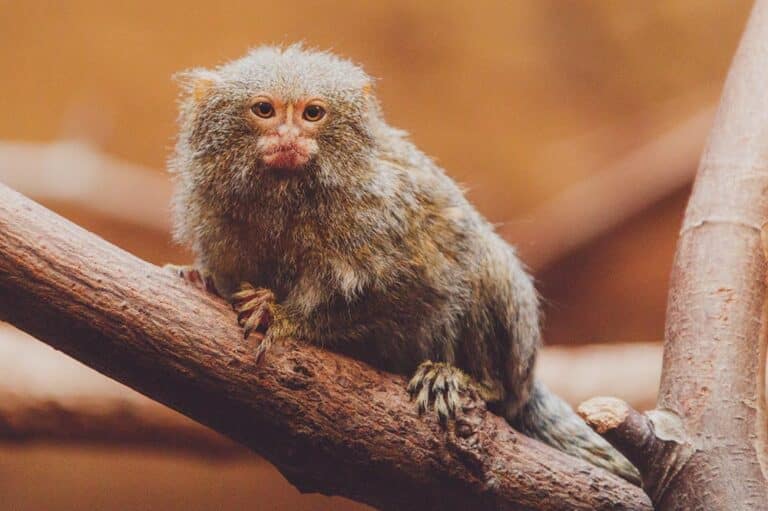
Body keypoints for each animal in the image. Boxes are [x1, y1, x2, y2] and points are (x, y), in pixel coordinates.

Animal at [167, 44, 640, 484]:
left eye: (313, 113)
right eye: (264, 110)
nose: (288, 137)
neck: (285, 195)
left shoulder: (387, 223)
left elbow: (404, 294)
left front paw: (284, 315)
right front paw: (200, 279)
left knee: (486, 279)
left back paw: (465, 380)